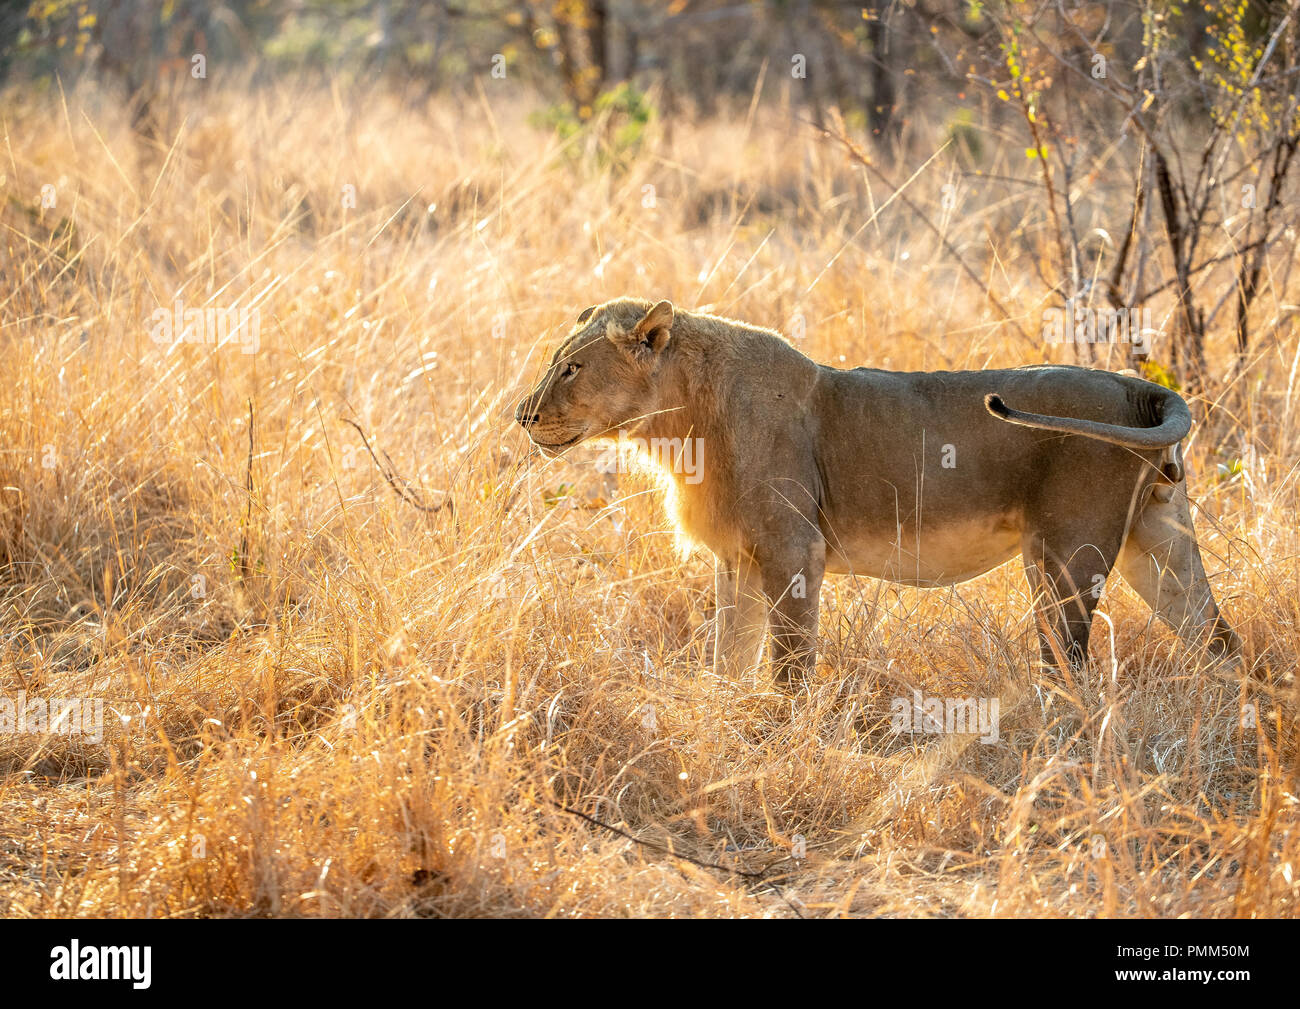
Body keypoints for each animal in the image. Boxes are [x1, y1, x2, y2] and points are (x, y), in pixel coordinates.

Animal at [515, 297, 1239, 688]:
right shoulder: (736, 559)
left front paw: (779, 742)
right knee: (1219, 637)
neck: (680, 424)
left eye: (572, 368)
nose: (522, 415)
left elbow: (788, 666)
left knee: (1068, 665)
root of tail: (1137, 387)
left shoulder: (793, 550)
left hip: (1065, 554)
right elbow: (728, 656)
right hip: (1158, 543)